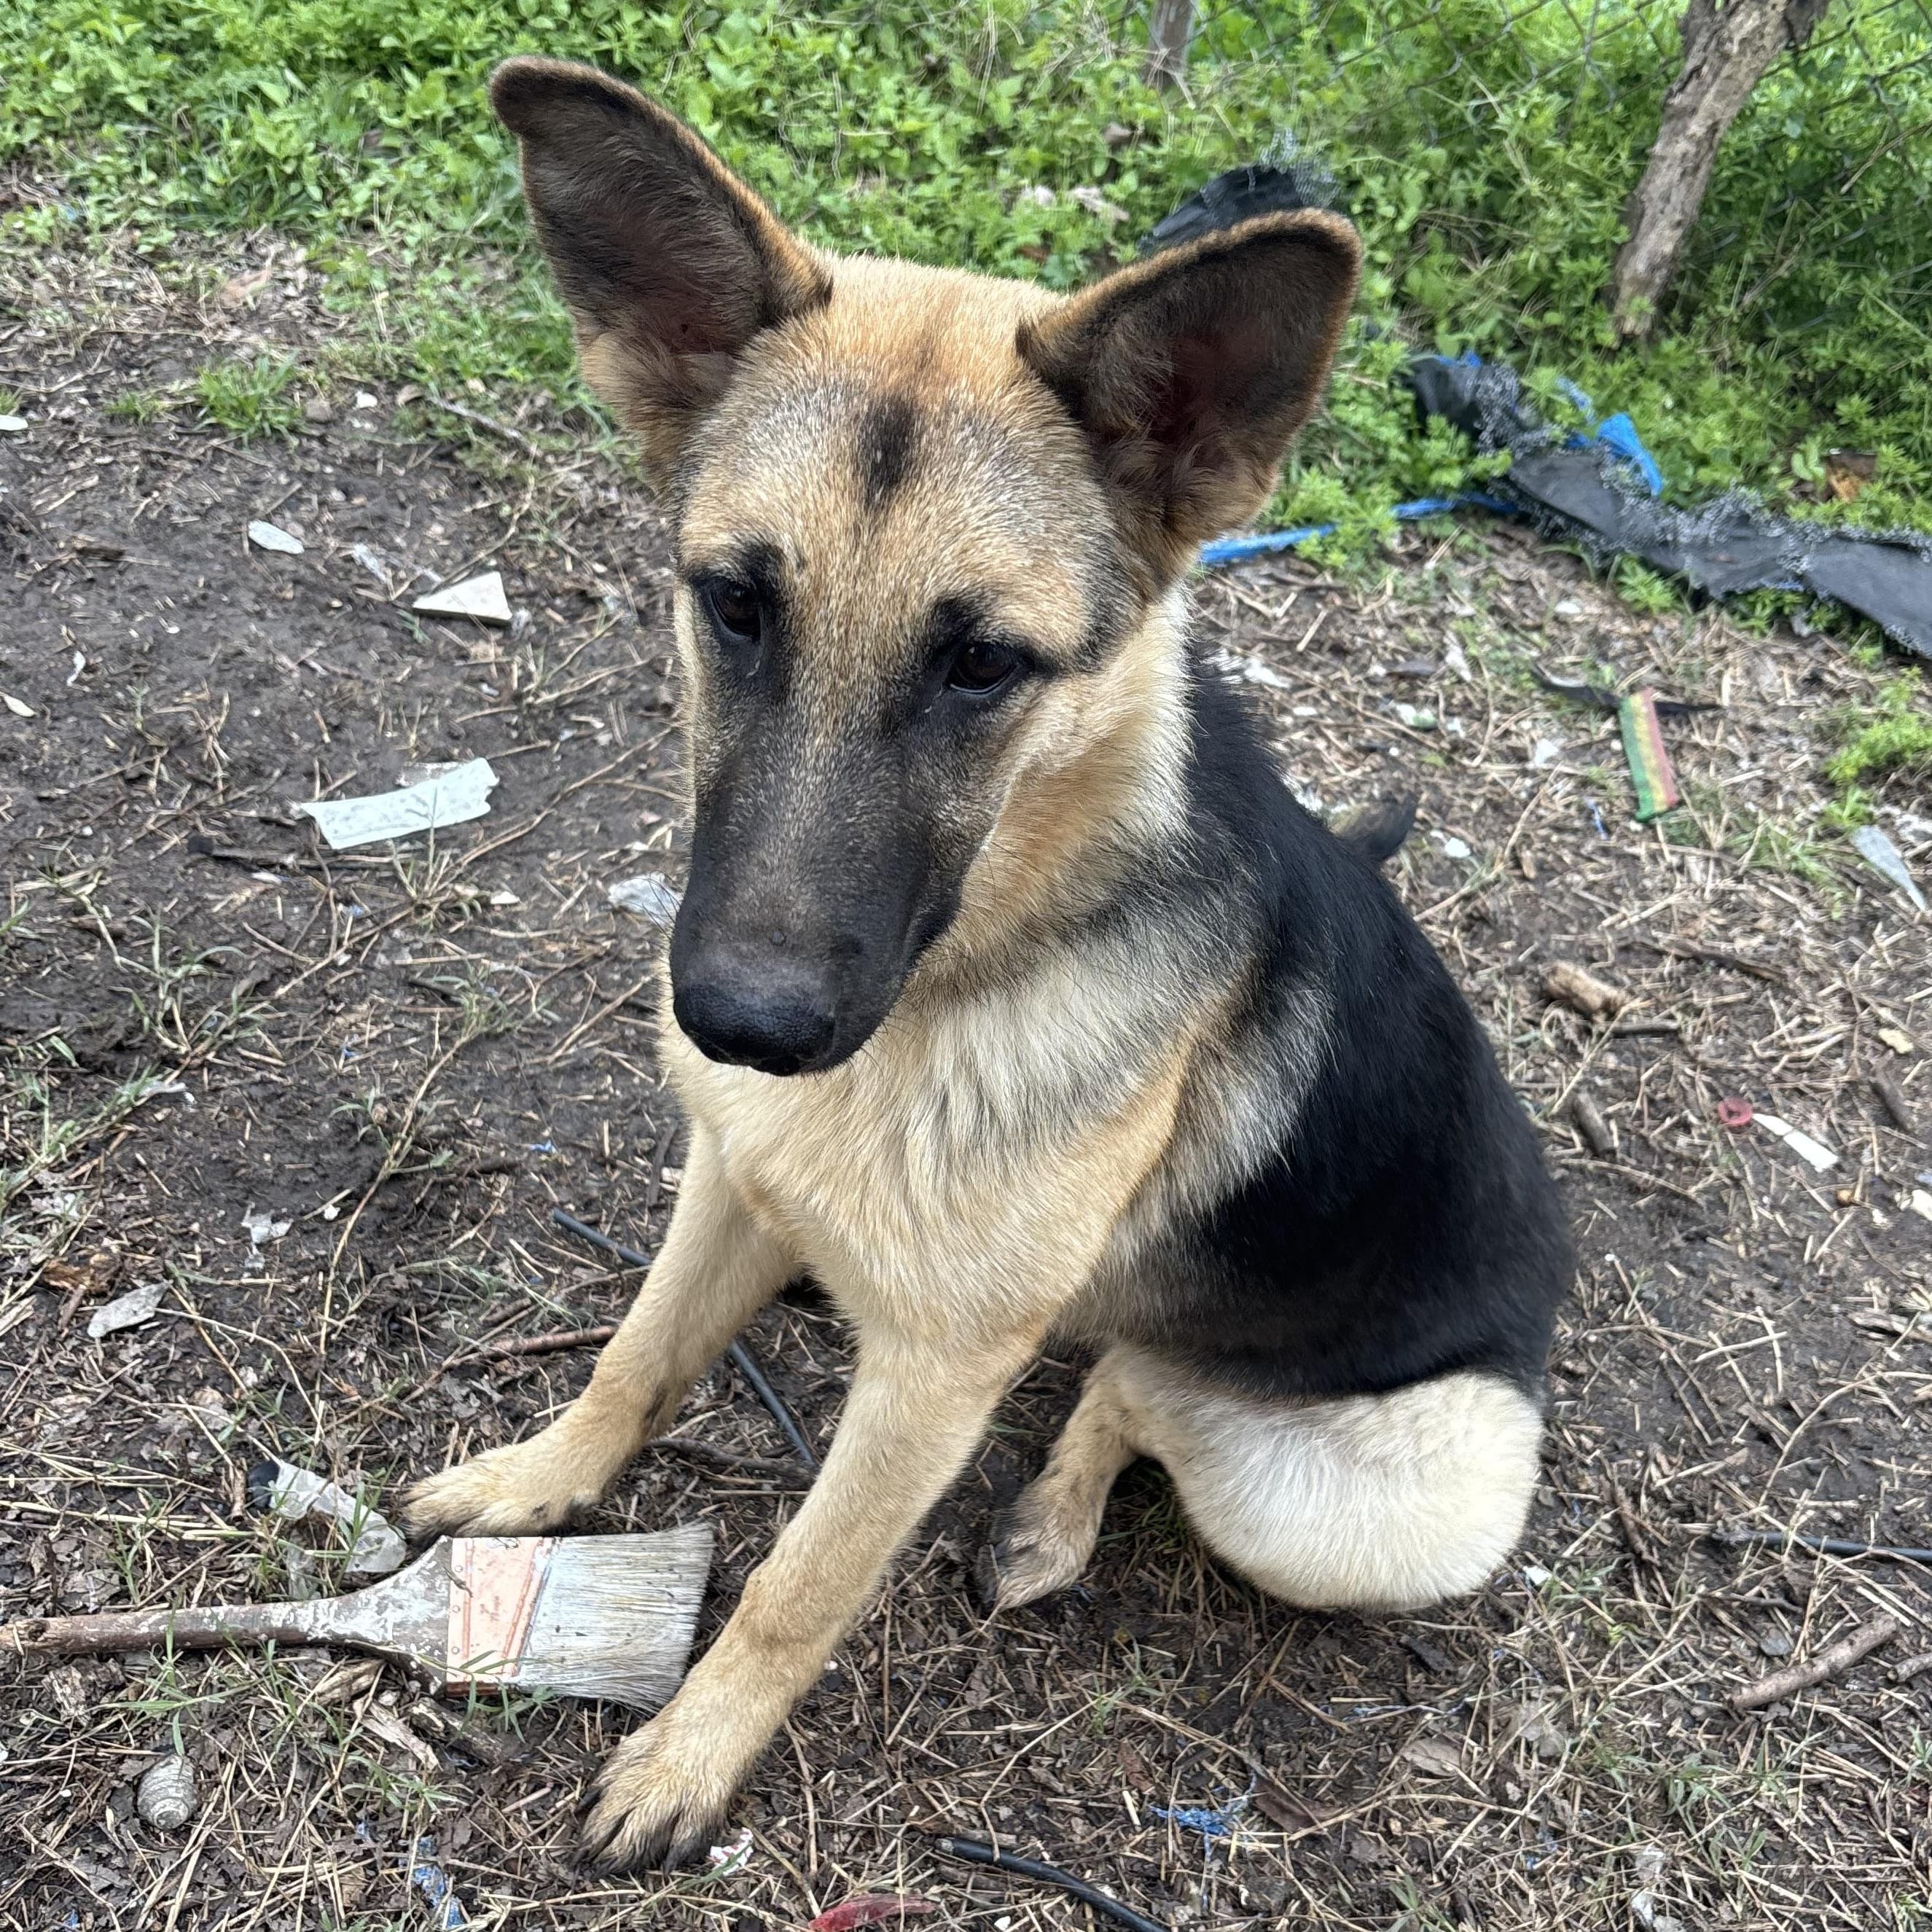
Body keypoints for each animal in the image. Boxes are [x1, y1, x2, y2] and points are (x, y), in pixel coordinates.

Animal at [405, 57, 1573, 1869]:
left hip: (1362, 1503)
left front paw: (689, 1752)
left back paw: (1055, 1508)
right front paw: (541, 1479)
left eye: (980, 665)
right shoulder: (726, 1171)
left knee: (1147, 1387)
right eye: (733, 603)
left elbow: (799, 1582)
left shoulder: (930, 1379)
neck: (968, 972)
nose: (740, 1023)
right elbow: (633, 1354)